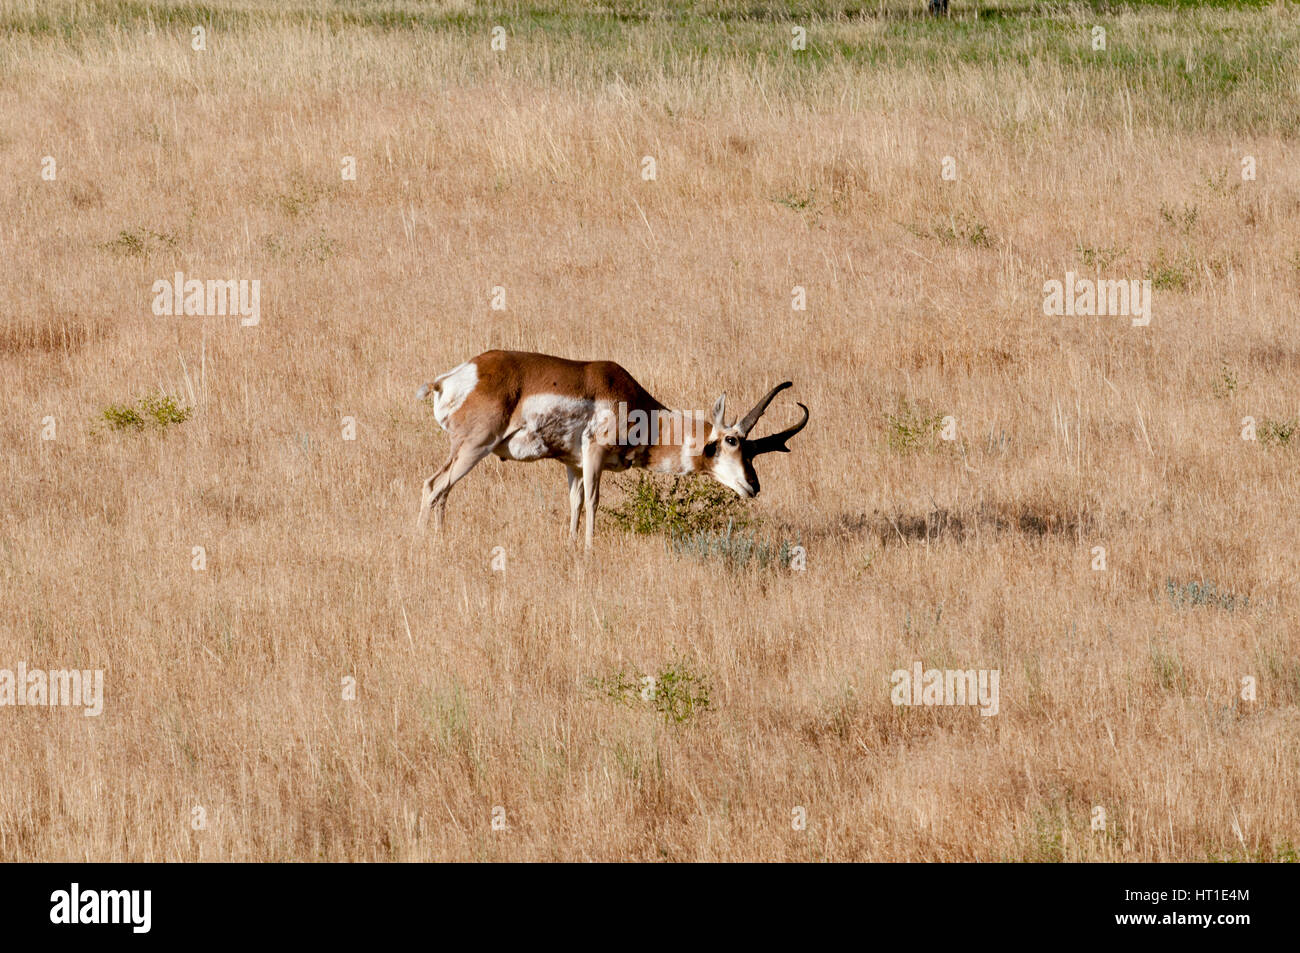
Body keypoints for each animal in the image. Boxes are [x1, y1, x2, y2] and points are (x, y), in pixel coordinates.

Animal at [415, 350, 808, 547]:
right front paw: (590, 550)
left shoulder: (573, 464)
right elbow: (593, 501)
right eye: (731, 440)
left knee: (443, 491)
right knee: (434, 486)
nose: (753, 486)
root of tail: (455, 376)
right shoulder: (593, 455)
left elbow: (574, 503)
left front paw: (573, 547)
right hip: (473, 447)